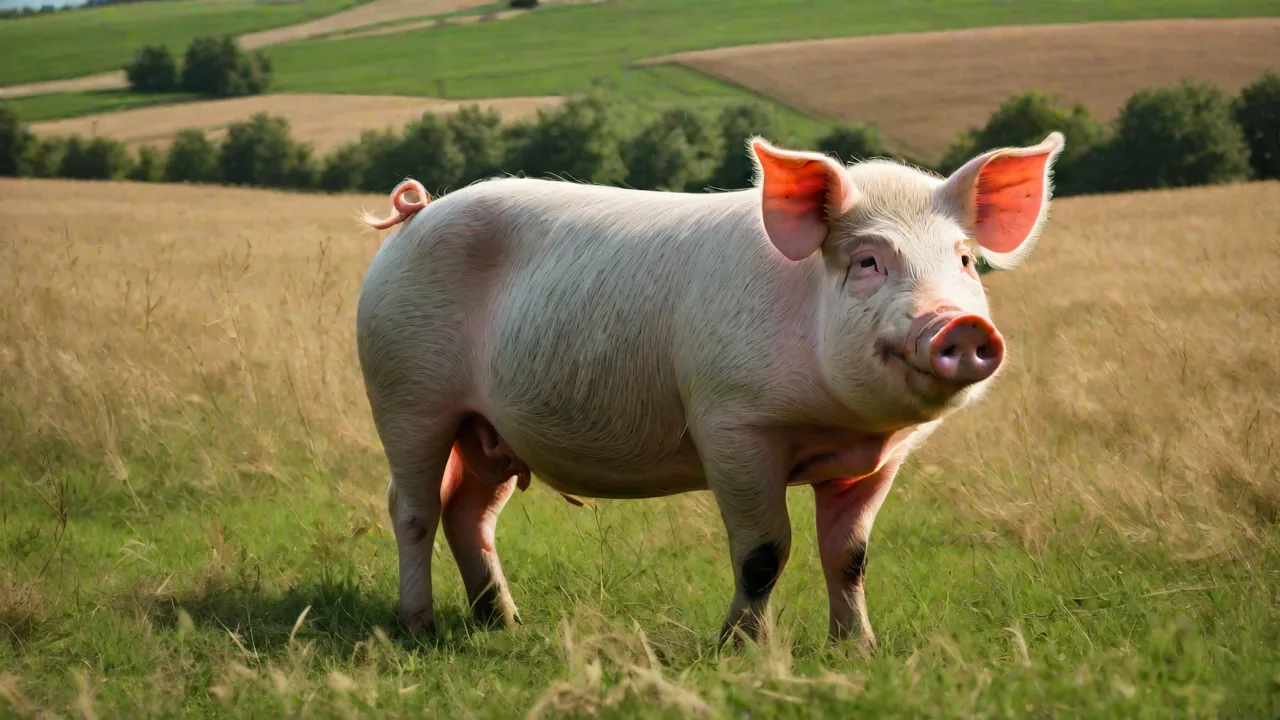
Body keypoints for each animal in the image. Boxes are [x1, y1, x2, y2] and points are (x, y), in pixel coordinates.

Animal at [355, 131, 1065, 647]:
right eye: (868, 260)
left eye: (965, 260)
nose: (961, 323)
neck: (836, 424)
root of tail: (417, 216)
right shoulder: (732, 423)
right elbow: (763, 552)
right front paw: (741, 650)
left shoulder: (880, 457)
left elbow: (850, 555)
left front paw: (858, 651)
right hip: (403, 392)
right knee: (412, 507)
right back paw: (419, 627)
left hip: (490, 430)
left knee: (467, 511)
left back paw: (504, 623)